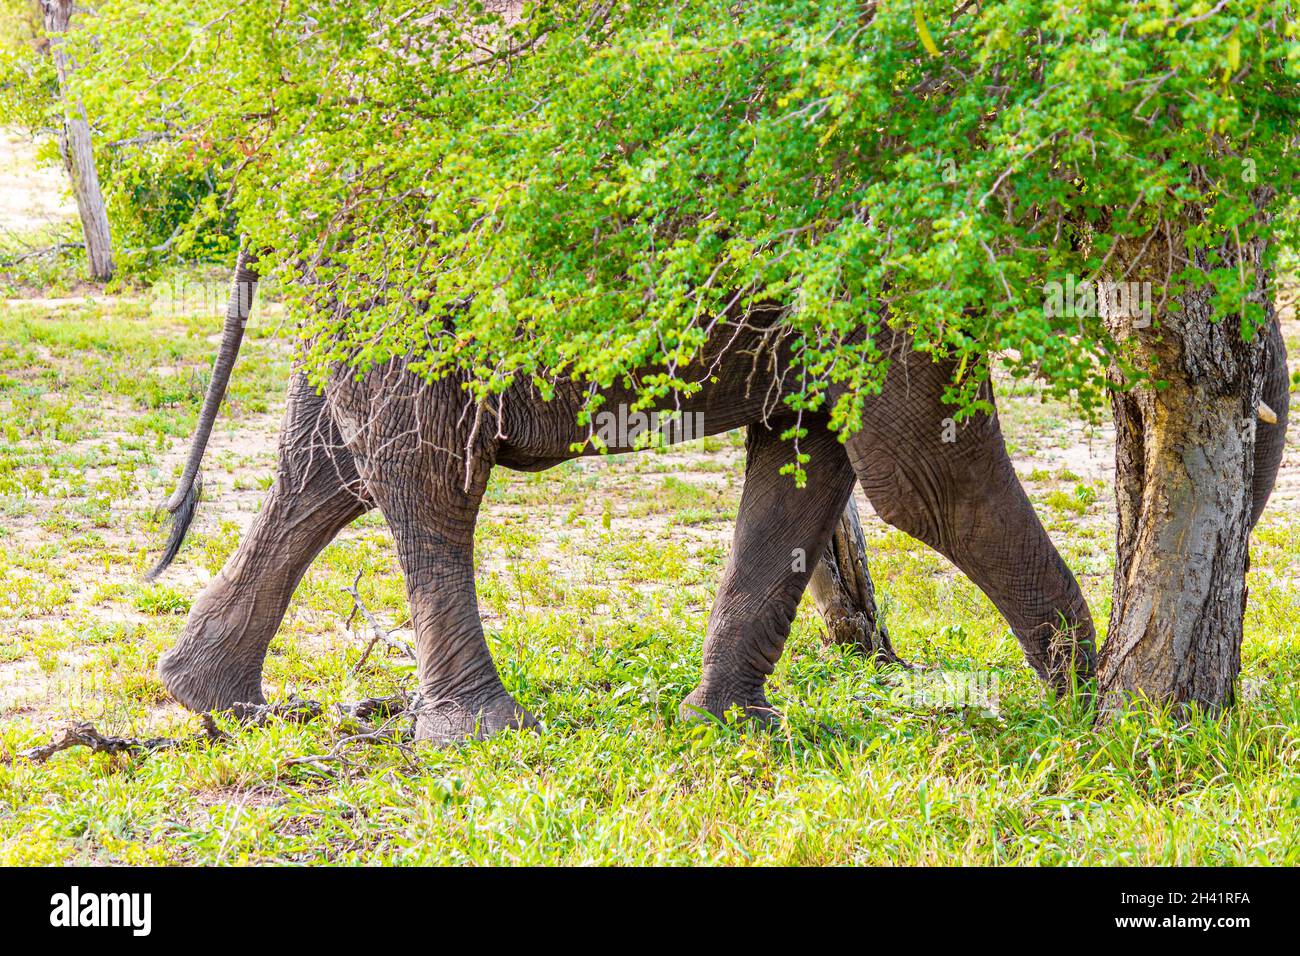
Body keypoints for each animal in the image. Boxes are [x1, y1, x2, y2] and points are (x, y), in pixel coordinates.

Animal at [150, 249, 1102, 742]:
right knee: (427, 473)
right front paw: (1094, 709)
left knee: (324, 475)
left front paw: (728, 727)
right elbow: (929, 479)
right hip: (404, 285)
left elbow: (808, 457)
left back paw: (219, 702)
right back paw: (486, 732)